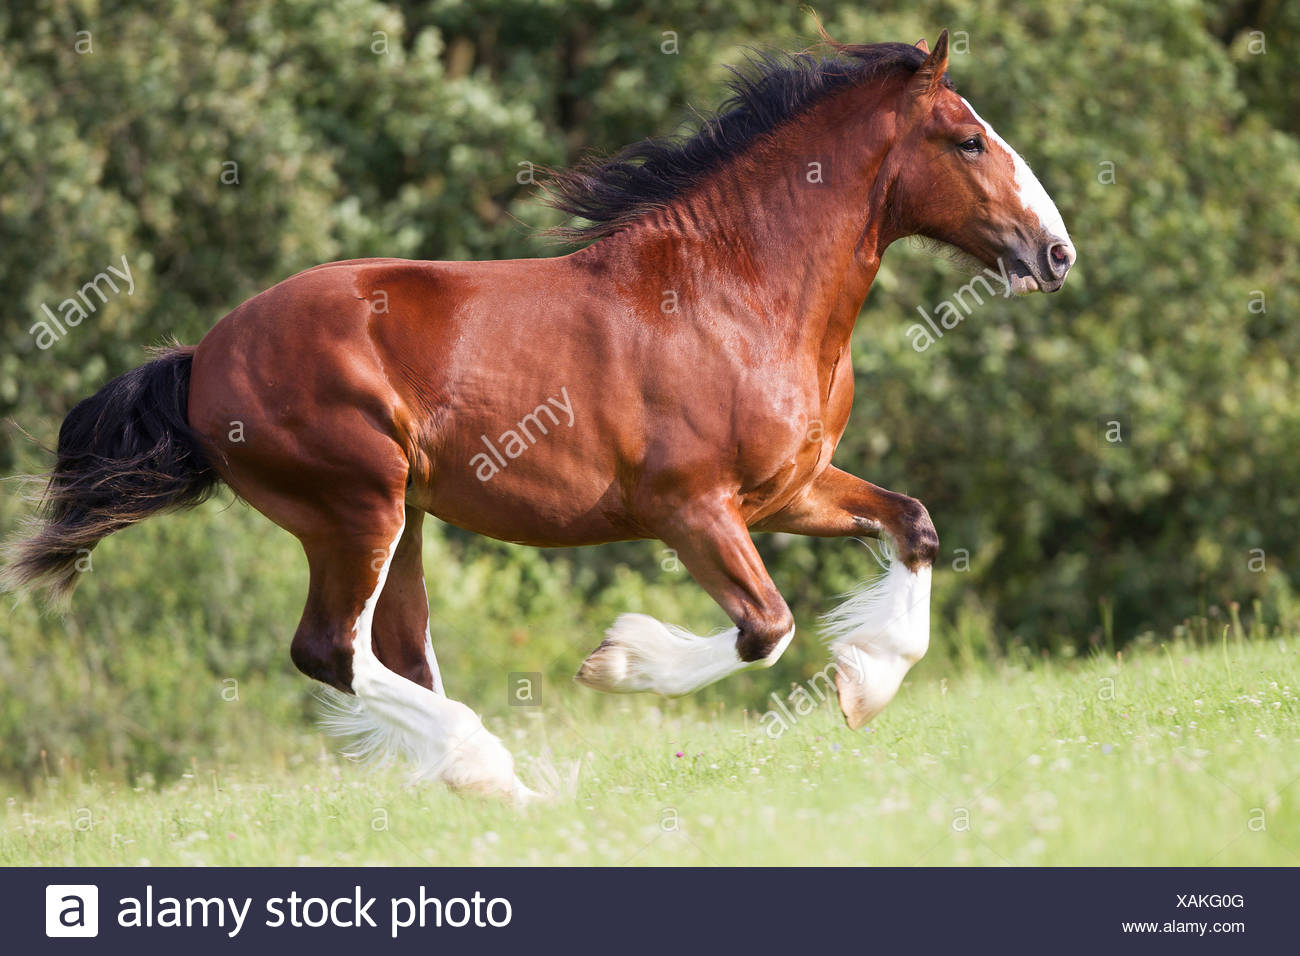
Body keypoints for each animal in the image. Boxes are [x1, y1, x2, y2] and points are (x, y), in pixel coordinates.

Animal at [3, 30, 1074, 803]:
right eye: (968, 138)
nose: (1055, 252)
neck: (737, 291)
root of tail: (202, 361)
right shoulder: (693, 509)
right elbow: (765, 627)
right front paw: (617, 662)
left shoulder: (791, 490)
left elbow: (914, 527)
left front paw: (866, 682)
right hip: (355, 506)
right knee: (329, 651)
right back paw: (491, 769)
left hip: (403, 519)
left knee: (392, 650)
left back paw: (496, 789)